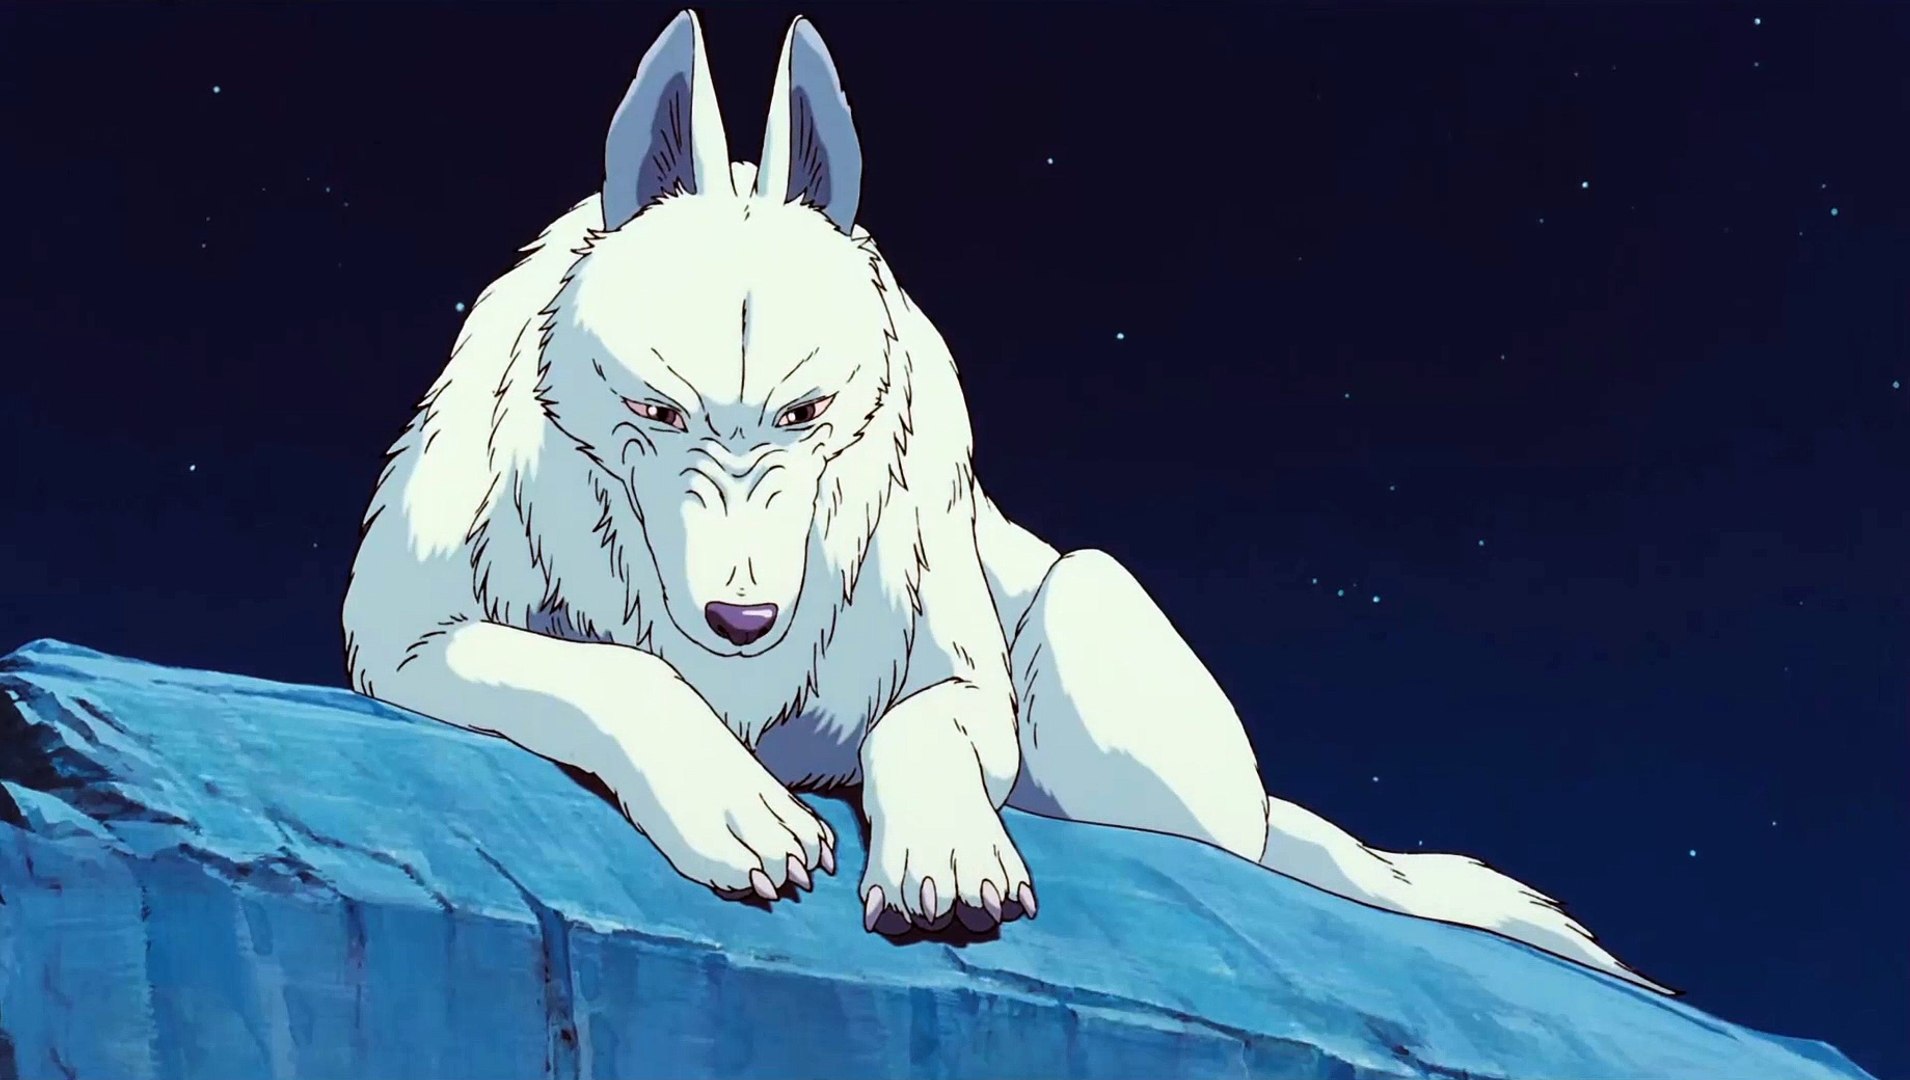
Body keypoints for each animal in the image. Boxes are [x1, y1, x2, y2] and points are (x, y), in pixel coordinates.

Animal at [342, 10, 1669, 991]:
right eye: (660, 417)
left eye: (807, 414)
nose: (742, 623)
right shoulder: (405, 648)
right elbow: (614, 673)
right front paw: (739, 810)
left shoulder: (969, 692)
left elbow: (916, 727)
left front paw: (942, 853)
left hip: (1092, 618)